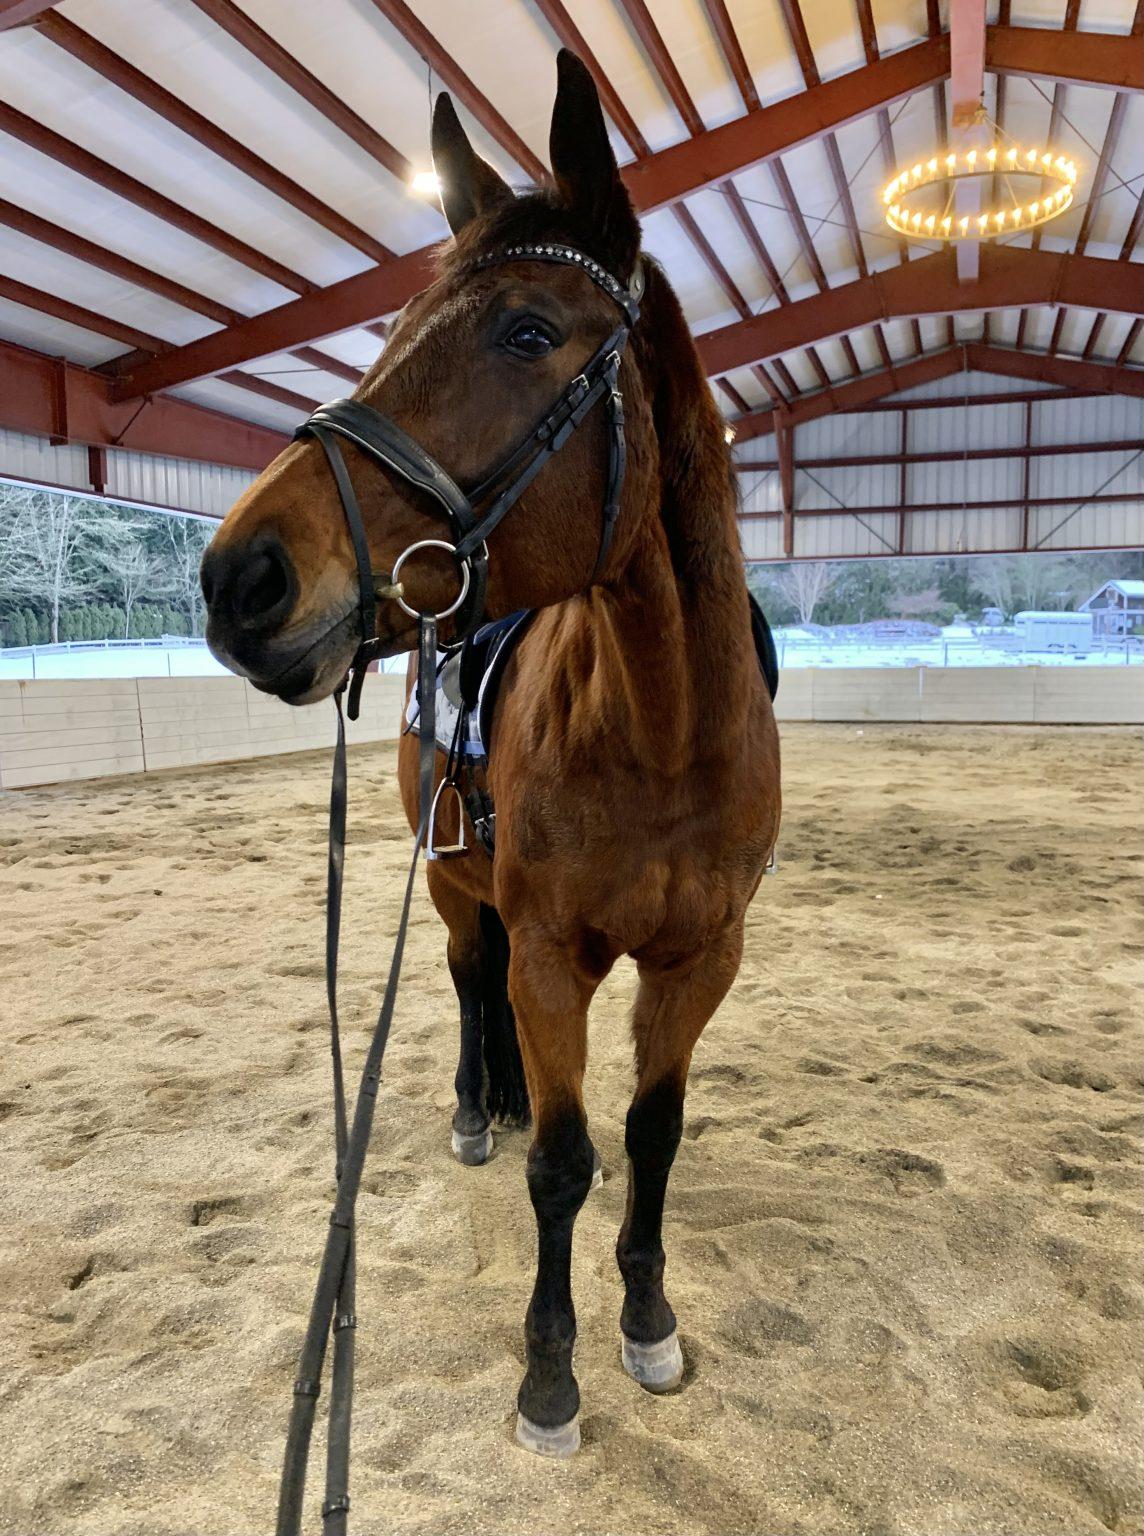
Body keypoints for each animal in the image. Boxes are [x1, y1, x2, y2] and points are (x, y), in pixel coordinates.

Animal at [200, 51, 780, 1462]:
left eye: (526, 331)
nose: (240, 578)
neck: (665, 731)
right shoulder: (551, 950)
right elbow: (563, 1164)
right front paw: (550, 1371)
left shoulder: (702, 958)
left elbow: (651, 1134)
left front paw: (648, 1323)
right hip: (457, 890)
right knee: (468, 982)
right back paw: (479, 1107)